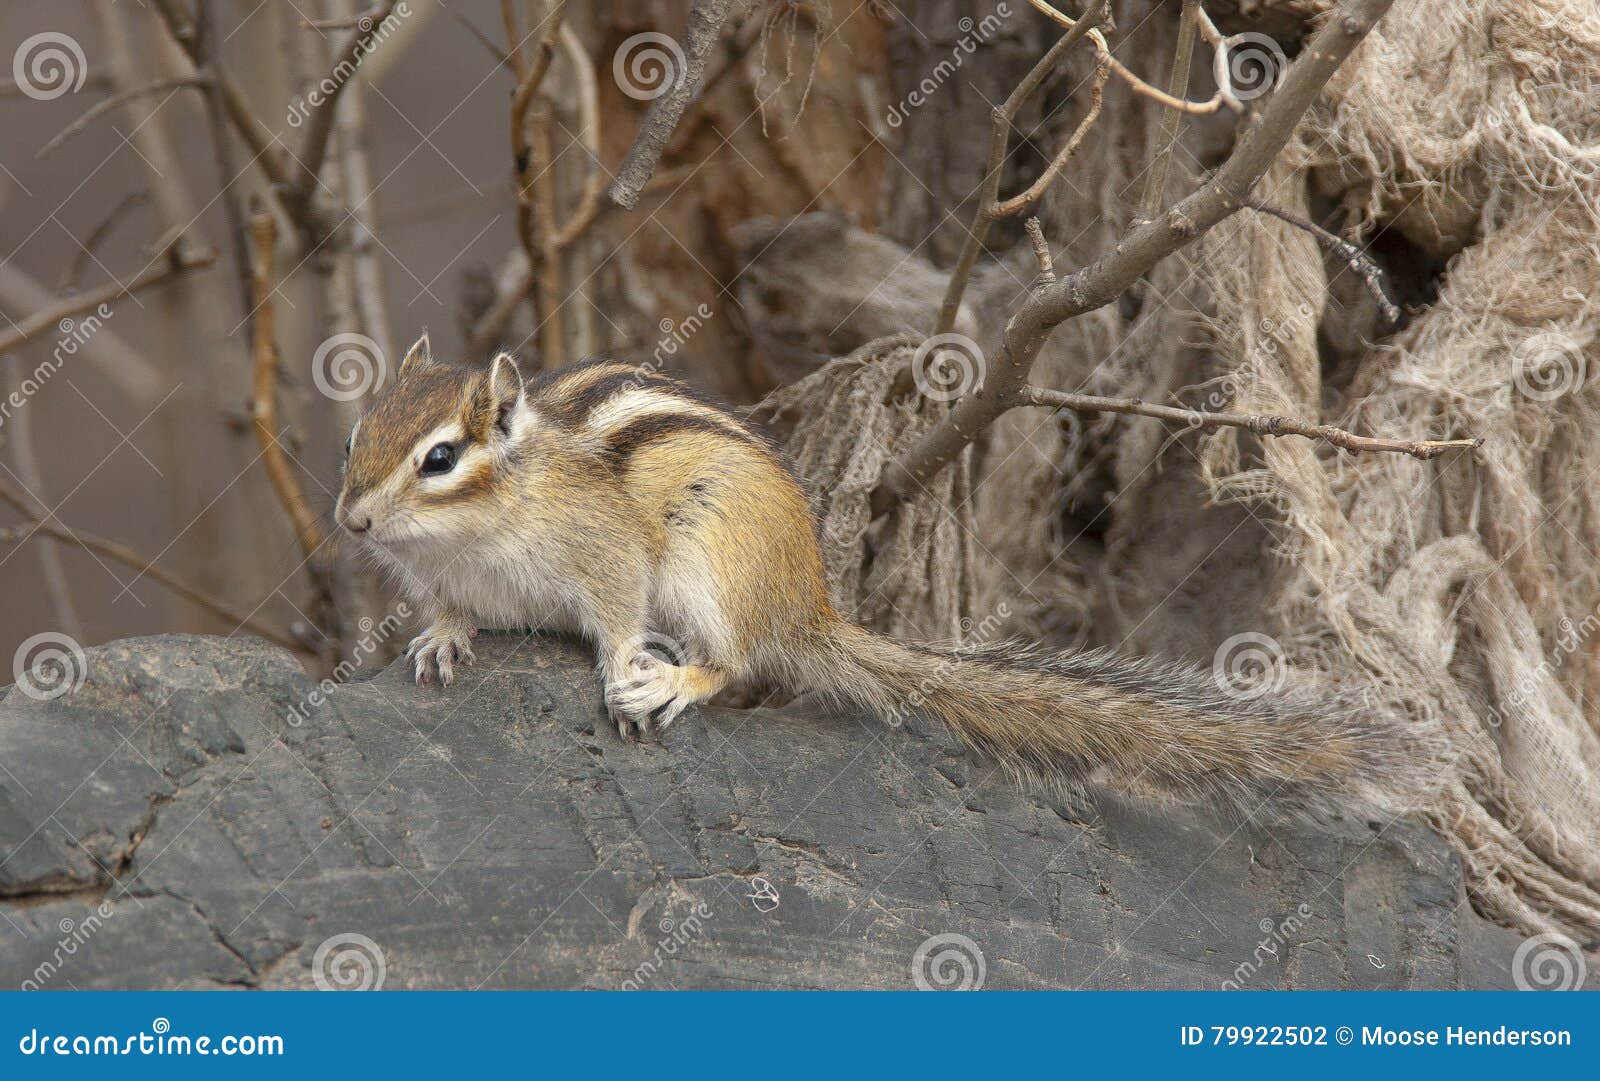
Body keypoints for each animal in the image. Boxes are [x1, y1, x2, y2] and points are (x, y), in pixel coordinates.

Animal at [335, 334, 1408, 818]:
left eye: (438, 458)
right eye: (354, 437)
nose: (351, 520)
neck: (474, 532)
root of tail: (809, 606)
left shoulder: (605, 556)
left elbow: (618, 615)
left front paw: (626, 672)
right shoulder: (443, 574)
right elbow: (445, 610)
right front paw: (441, 639)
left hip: (713, 562)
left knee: (742, 661)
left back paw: (678, 676)